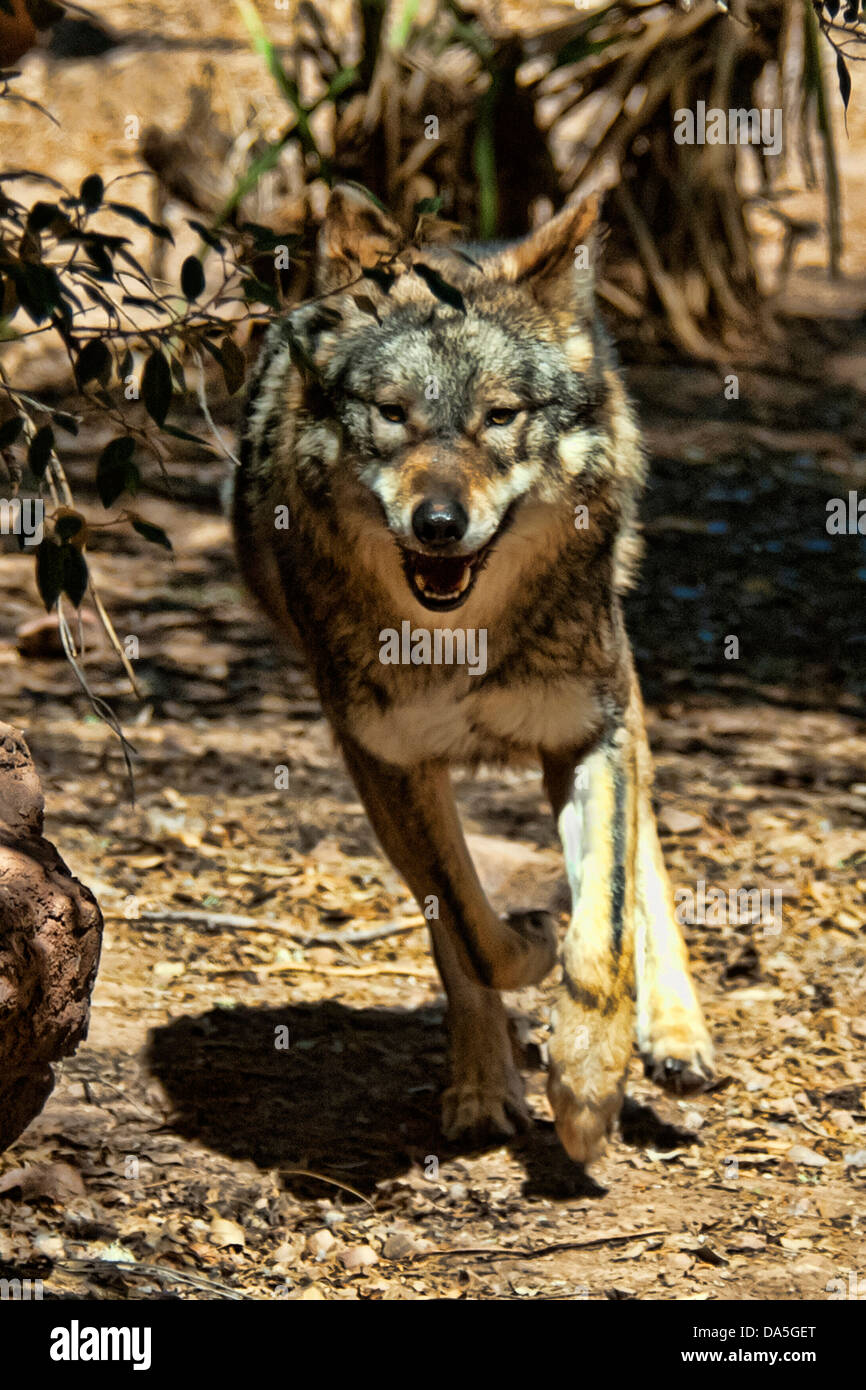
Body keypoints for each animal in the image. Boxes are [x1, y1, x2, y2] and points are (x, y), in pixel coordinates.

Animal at [232, 185, 714, 1164]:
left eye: (500, 416)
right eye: (391, 414)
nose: (440, 524)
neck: (462, 641)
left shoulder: (589, 734)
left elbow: (606, 922)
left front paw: (590, 1080)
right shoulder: (389, 760)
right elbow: (468, 929)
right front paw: (530, 954)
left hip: (618, 687)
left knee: (645, 851)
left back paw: (674, 1033)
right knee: (449, 936)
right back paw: (483, 1086)